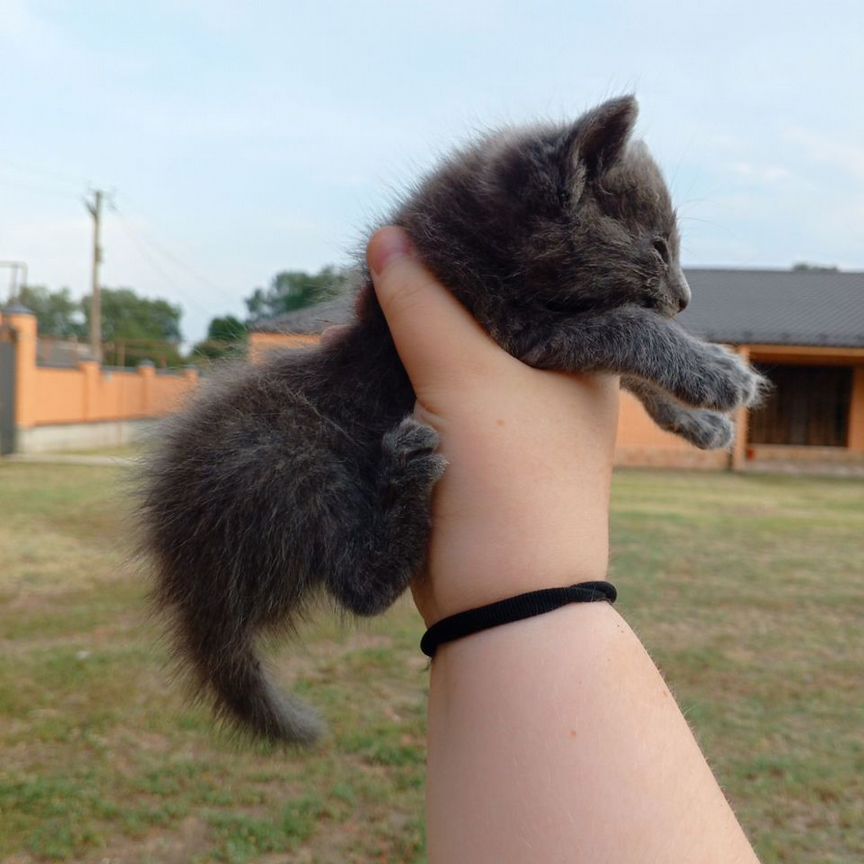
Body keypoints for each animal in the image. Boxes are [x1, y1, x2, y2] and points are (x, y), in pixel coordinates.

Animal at [143, 93, 768, 744]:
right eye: (658, 247)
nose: (686, 298)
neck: (489, 247)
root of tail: (190, 580)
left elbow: (631, 370)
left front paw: (702, 421)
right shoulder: (524, 331)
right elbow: (630, 327)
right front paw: (719, 372)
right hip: (280, 453)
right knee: (360, 588)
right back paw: (405, 478)